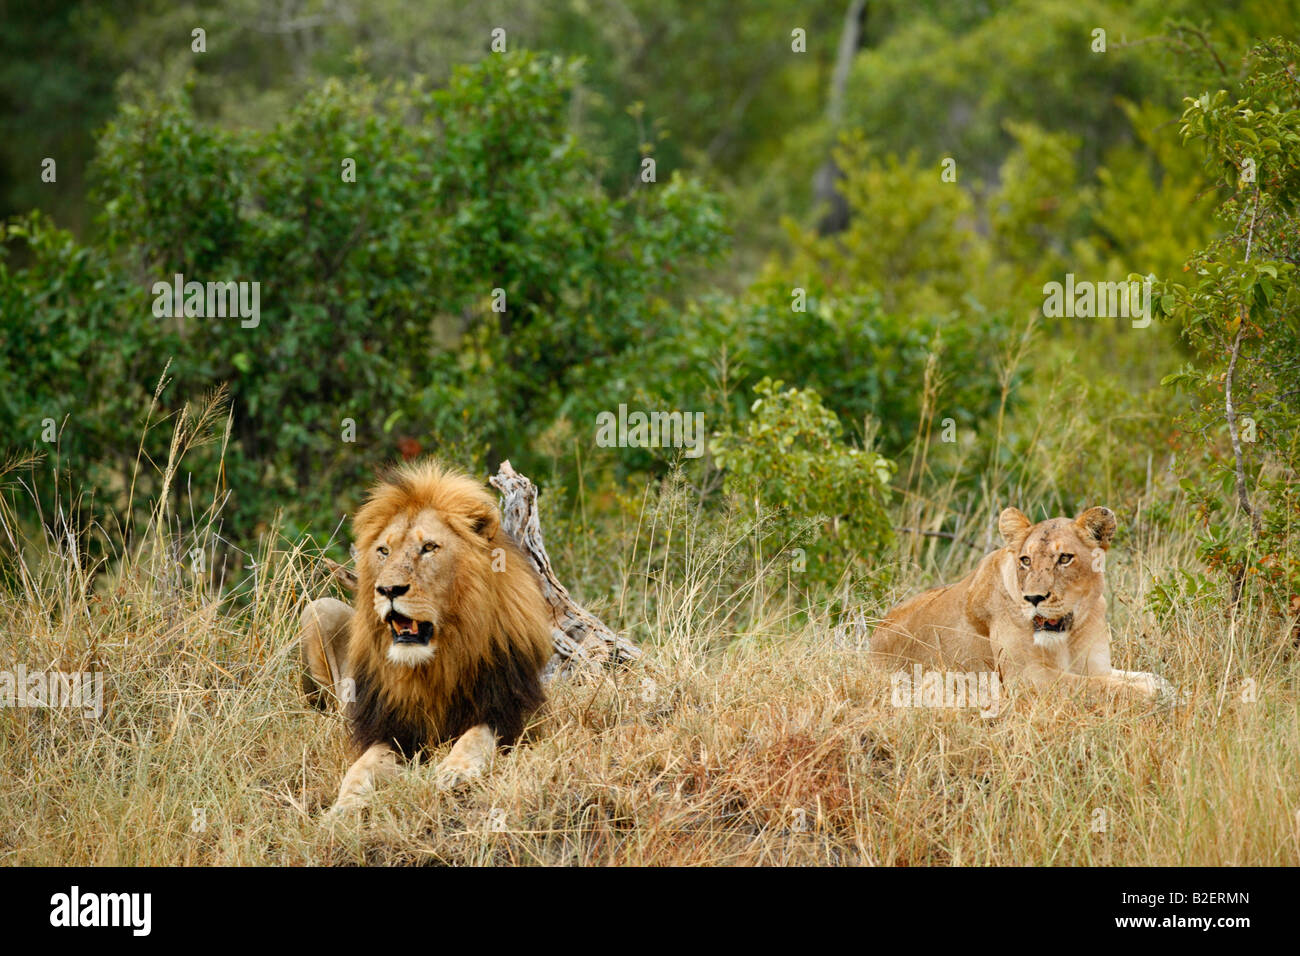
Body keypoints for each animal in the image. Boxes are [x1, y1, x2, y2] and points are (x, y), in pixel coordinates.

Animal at [297, 460, 554, 813]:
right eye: (384, 550)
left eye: (429, 547)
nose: (388, 589)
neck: (434, 663)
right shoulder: (392, 731)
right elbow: (360, 769)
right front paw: (343, 808)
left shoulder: (514, 713)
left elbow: (475, 737)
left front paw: (454, 772)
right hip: (317, 610)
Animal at [871, 506, 1175, 704]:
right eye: (1026, 560)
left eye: (1065, 558)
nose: (1034, 598)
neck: (1068, 635)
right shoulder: (1028, 679)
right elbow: (1101, 688)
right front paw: (1158, 696)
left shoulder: (1097, 666)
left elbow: (1142, 677)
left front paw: (1164, 687)